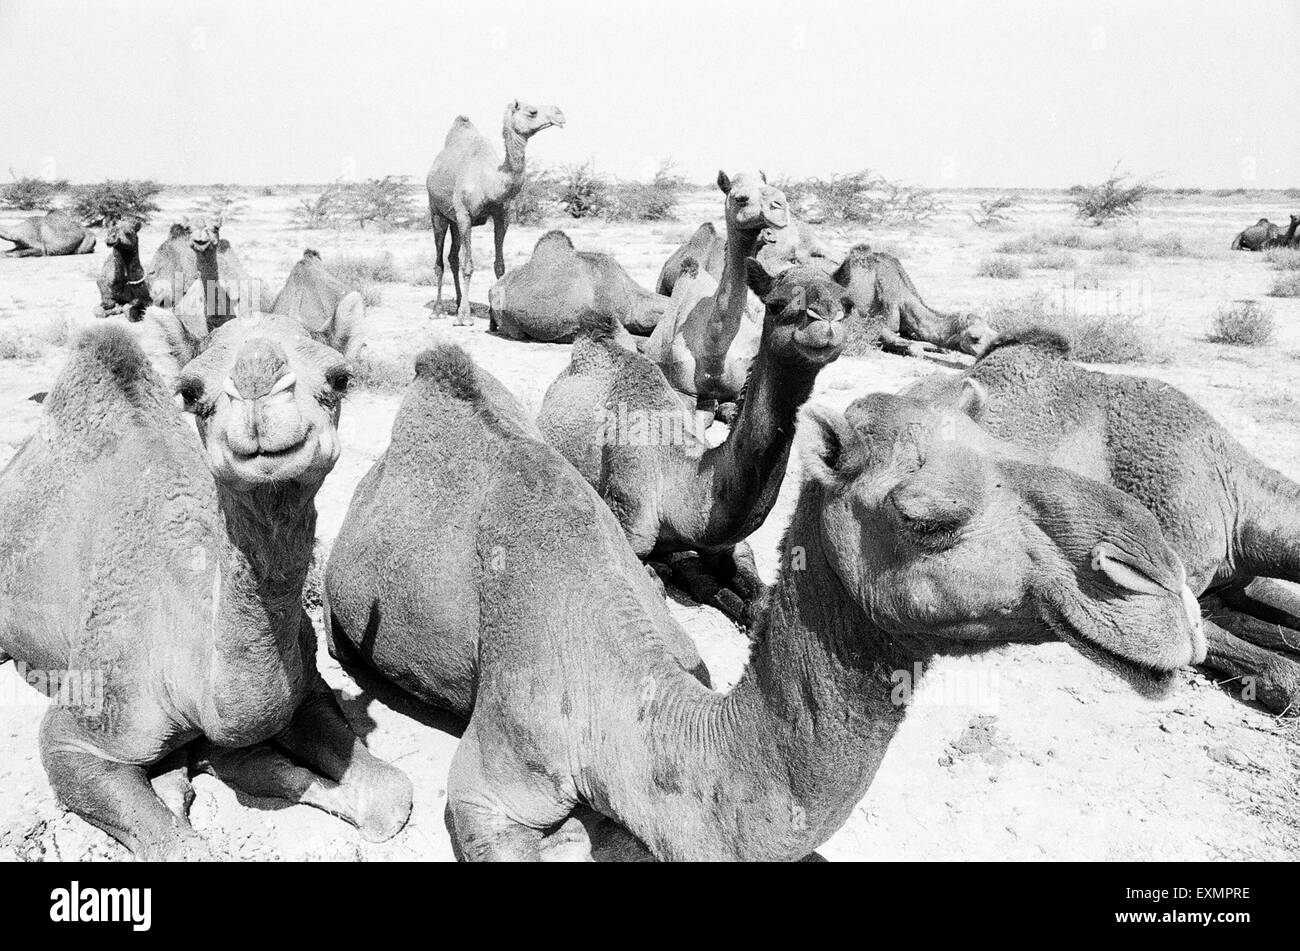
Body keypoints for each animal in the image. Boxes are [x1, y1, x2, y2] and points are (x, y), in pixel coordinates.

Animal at [0, 312, 410, 860]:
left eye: (340, 377)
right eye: (191, 390)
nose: (257, 379)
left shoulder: (306, 689)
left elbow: (390, 793)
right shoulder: (77, 730)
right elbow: (179, 844)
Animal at [425, 100, 566, 326]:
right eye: (532, 112)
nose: (560, 114)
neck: (490, 180)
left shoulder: (502, 215)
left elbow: (499, 265)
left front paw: (497, 316)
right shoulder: (465, 215)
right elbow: (468, 266)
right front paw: (464, 318)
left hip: (454, 221)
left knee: (453, 257)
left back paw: (459, 302)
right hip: (437, 213)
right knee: (439, 261)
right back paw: (438, 311)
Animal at [538, 262, 849, 623]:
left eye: (847, 303)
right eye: (775, 304)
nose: (826, 321)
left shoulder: (729, 543)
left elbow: (759, 598)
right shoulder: (631, 523)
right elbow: (661, 581)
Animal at [833, 244, 994, 357]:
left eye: (994, 333)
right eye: (975, 337)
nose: (989, 351)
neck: (902, 297)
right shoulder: (876, 323)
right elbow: (913, 347)